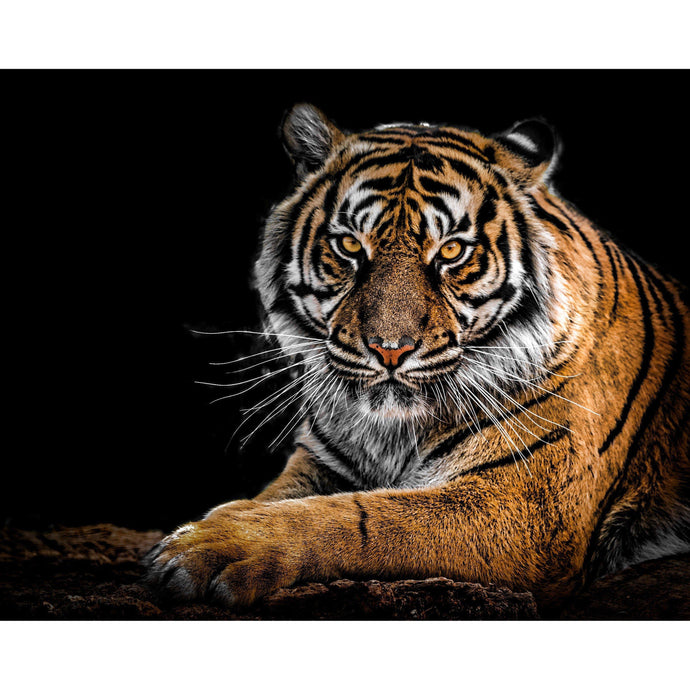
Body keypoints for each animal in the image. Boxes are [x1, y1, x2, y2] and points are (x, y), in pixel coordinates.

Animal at [144, 104, 690, 612]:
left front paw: (209, 548)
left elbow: (361, 518)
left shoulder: (527, 506)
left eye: (450, 251)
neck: (391, 432)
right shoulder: (319, 462)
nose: (391, 349)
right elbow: (278, 499)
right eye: (349, 245)